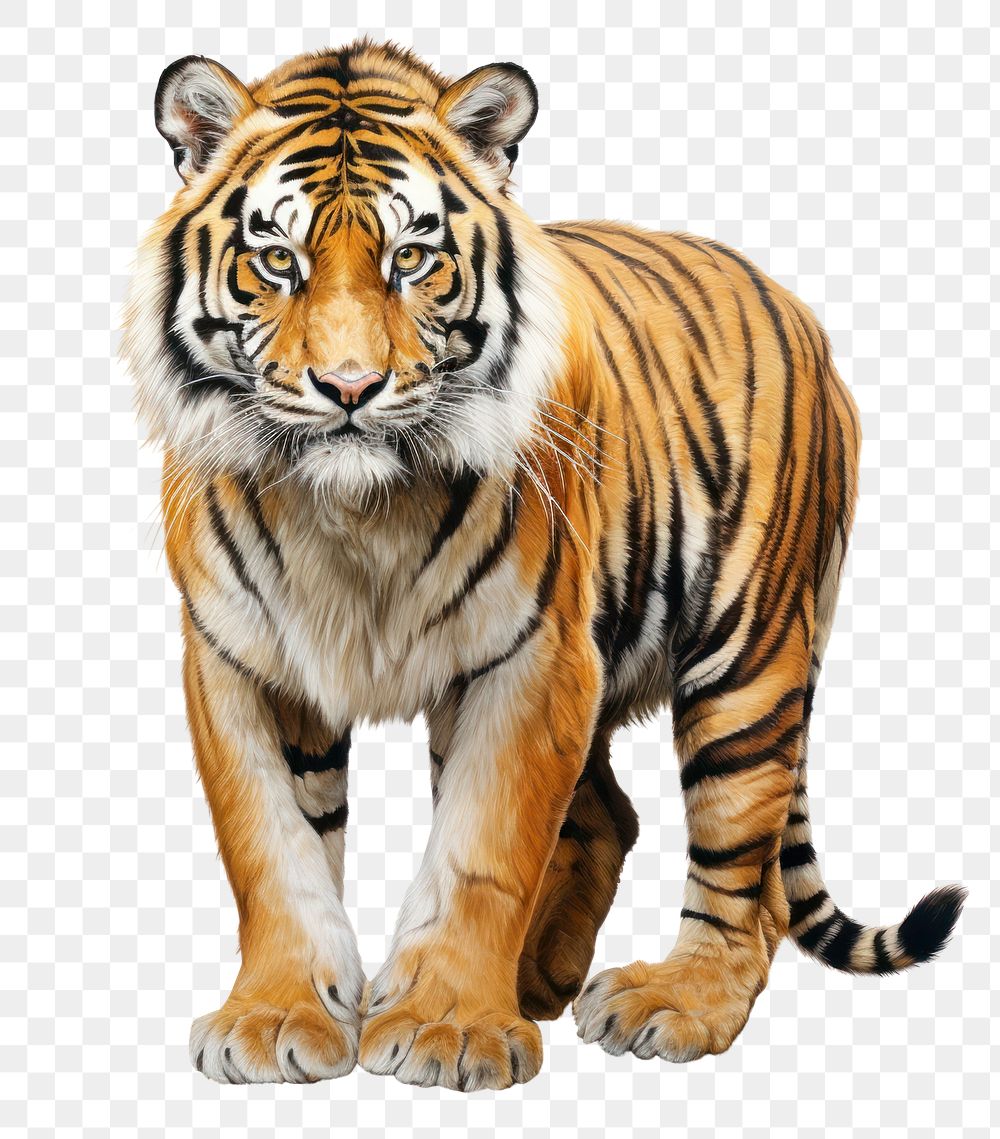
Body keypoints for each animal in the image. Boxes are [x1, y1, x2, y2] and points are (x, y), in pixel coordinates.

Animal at [122, 39, 966, 1090]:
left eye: (412, 258)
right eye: (279, 259)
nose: (350, 389)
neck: (350, 512)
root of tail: (792, 304)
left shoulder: (535, 658)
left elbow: (483, 850)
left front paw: (450, 1027)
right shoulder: (241, 660)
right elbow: (272, 851)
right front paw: (278, 1016)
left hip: (749, 655)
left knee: (745, 871)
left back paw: (673, 1001)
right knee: (615, 817)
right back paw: (540, 976)